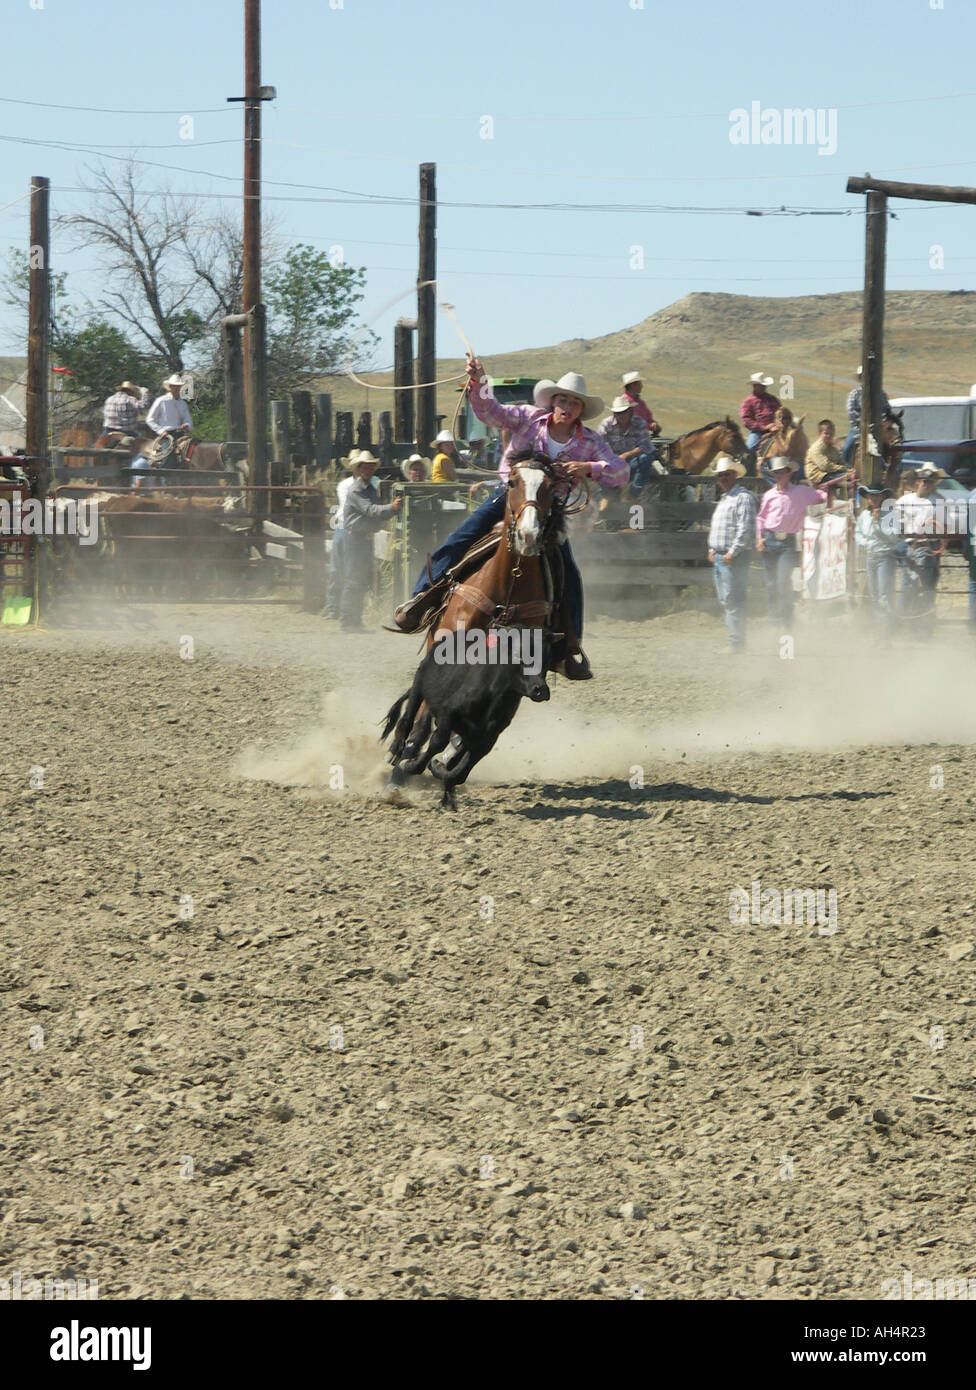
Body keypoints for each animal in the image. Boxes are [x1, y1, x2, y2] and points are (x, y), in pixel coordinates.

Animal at [383, 451, 567, 806]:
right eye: (512, 482)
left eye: (551, 487)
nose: (528, 536)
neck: (506, 588)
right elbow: (424, 726)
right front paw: (402, 773)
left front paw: (443, 767)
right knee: (418, 716)